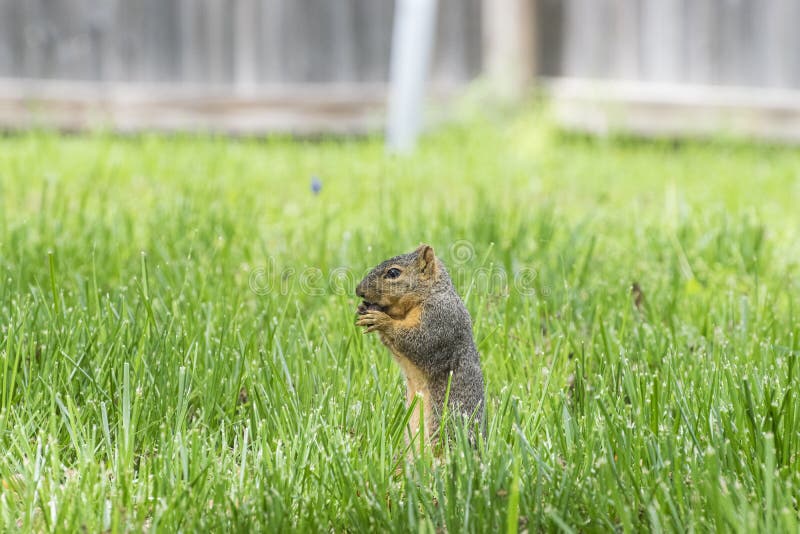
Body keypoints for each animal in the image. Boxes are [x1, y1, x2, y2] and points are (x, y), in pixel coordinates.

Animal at [355, 244, 485, 445]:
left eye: (393, 273)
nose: (358, 291)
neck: (429, 294)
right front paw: (364, 309)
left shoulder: (440, 320)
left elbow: (420, 342)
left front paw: (383, 320)